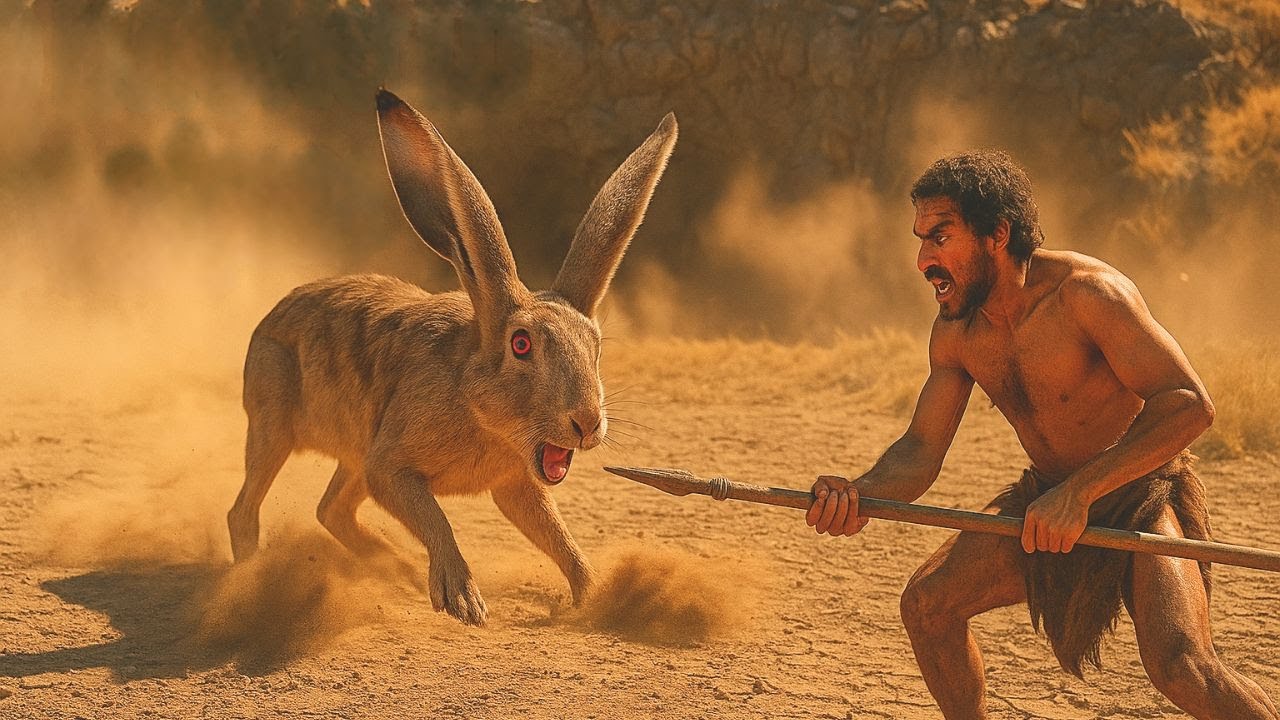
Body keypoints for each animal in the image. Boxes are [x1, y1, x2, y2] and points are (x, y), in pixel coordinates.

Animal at [226, 88, 677, 626]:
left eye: (597, 346)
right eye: (521, 344)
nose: (586, 423)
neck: (476, 402)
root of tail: (269, 319)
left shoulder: (514, 484)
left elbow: (559, 538)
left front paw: (599, 597)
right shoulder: (391, 465)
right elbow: (436, 518)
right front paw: (463, 601)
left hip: (352, 453)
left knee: (331, 510)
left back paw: (395, 571)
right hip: (275, 420)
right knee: (245, 510)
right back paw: (251, 582)